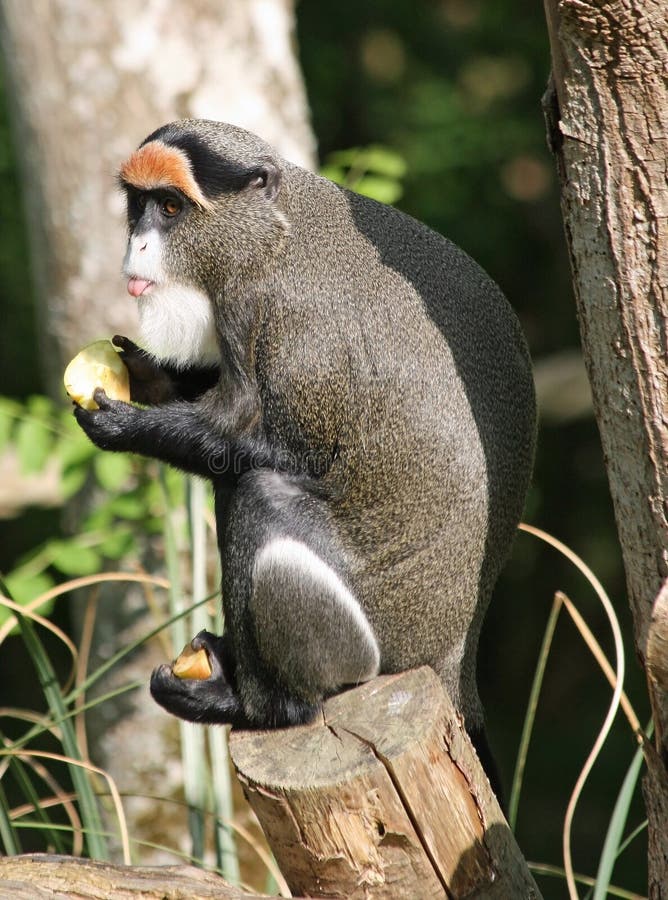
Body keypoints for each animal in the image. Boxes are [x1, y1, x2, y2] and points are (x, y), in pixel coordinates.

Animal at [73, 119, 536, 794]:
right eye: (138, 203)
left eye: (171, 207)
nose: (136, 247)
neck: (272, 237)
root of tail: (455, 658)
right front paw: (147, 376)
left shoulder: (274, 318)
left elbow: (266, 444)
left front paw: (125, 423)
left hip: (379, 639)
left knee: (256, 494)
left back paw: (264, 706)